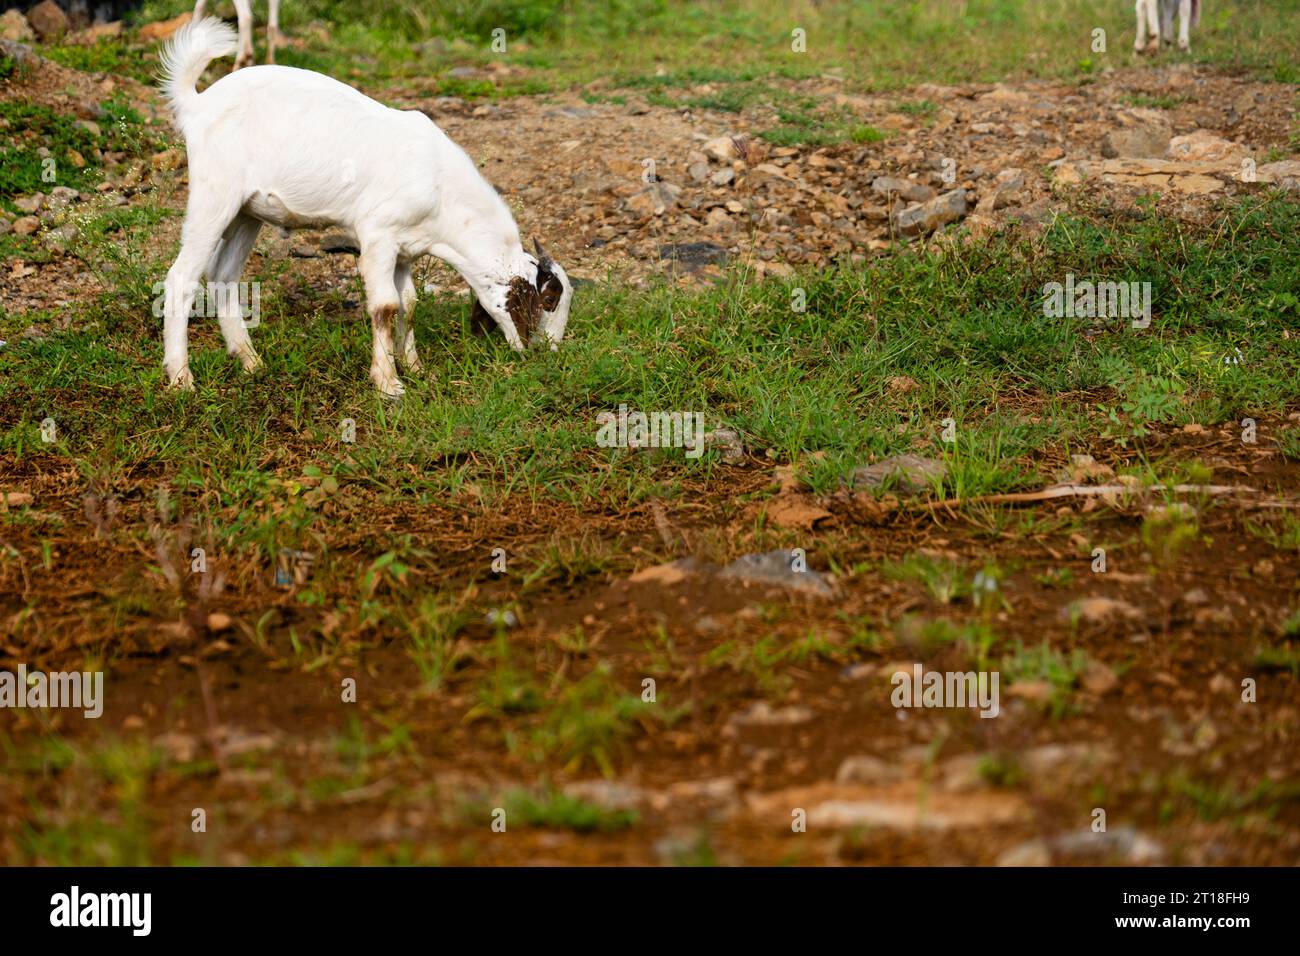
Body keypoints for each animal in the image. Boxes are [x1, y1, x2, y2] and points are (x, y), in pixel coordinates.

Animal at [157, 17, 573, 398]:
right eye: (549, 299)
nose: (548, 353)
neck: (441, 191)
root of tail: (197, 104)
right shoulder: (378, 236)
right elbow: (385, 306)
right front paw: (388, 383)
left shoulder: (406, 249)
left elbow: (409, 303)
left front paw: (415, 368)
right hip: (215, 194)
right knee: (181, 277)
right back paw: (181, 379)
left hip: (247, 211)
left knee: (223, 276)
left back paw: (250, 362)